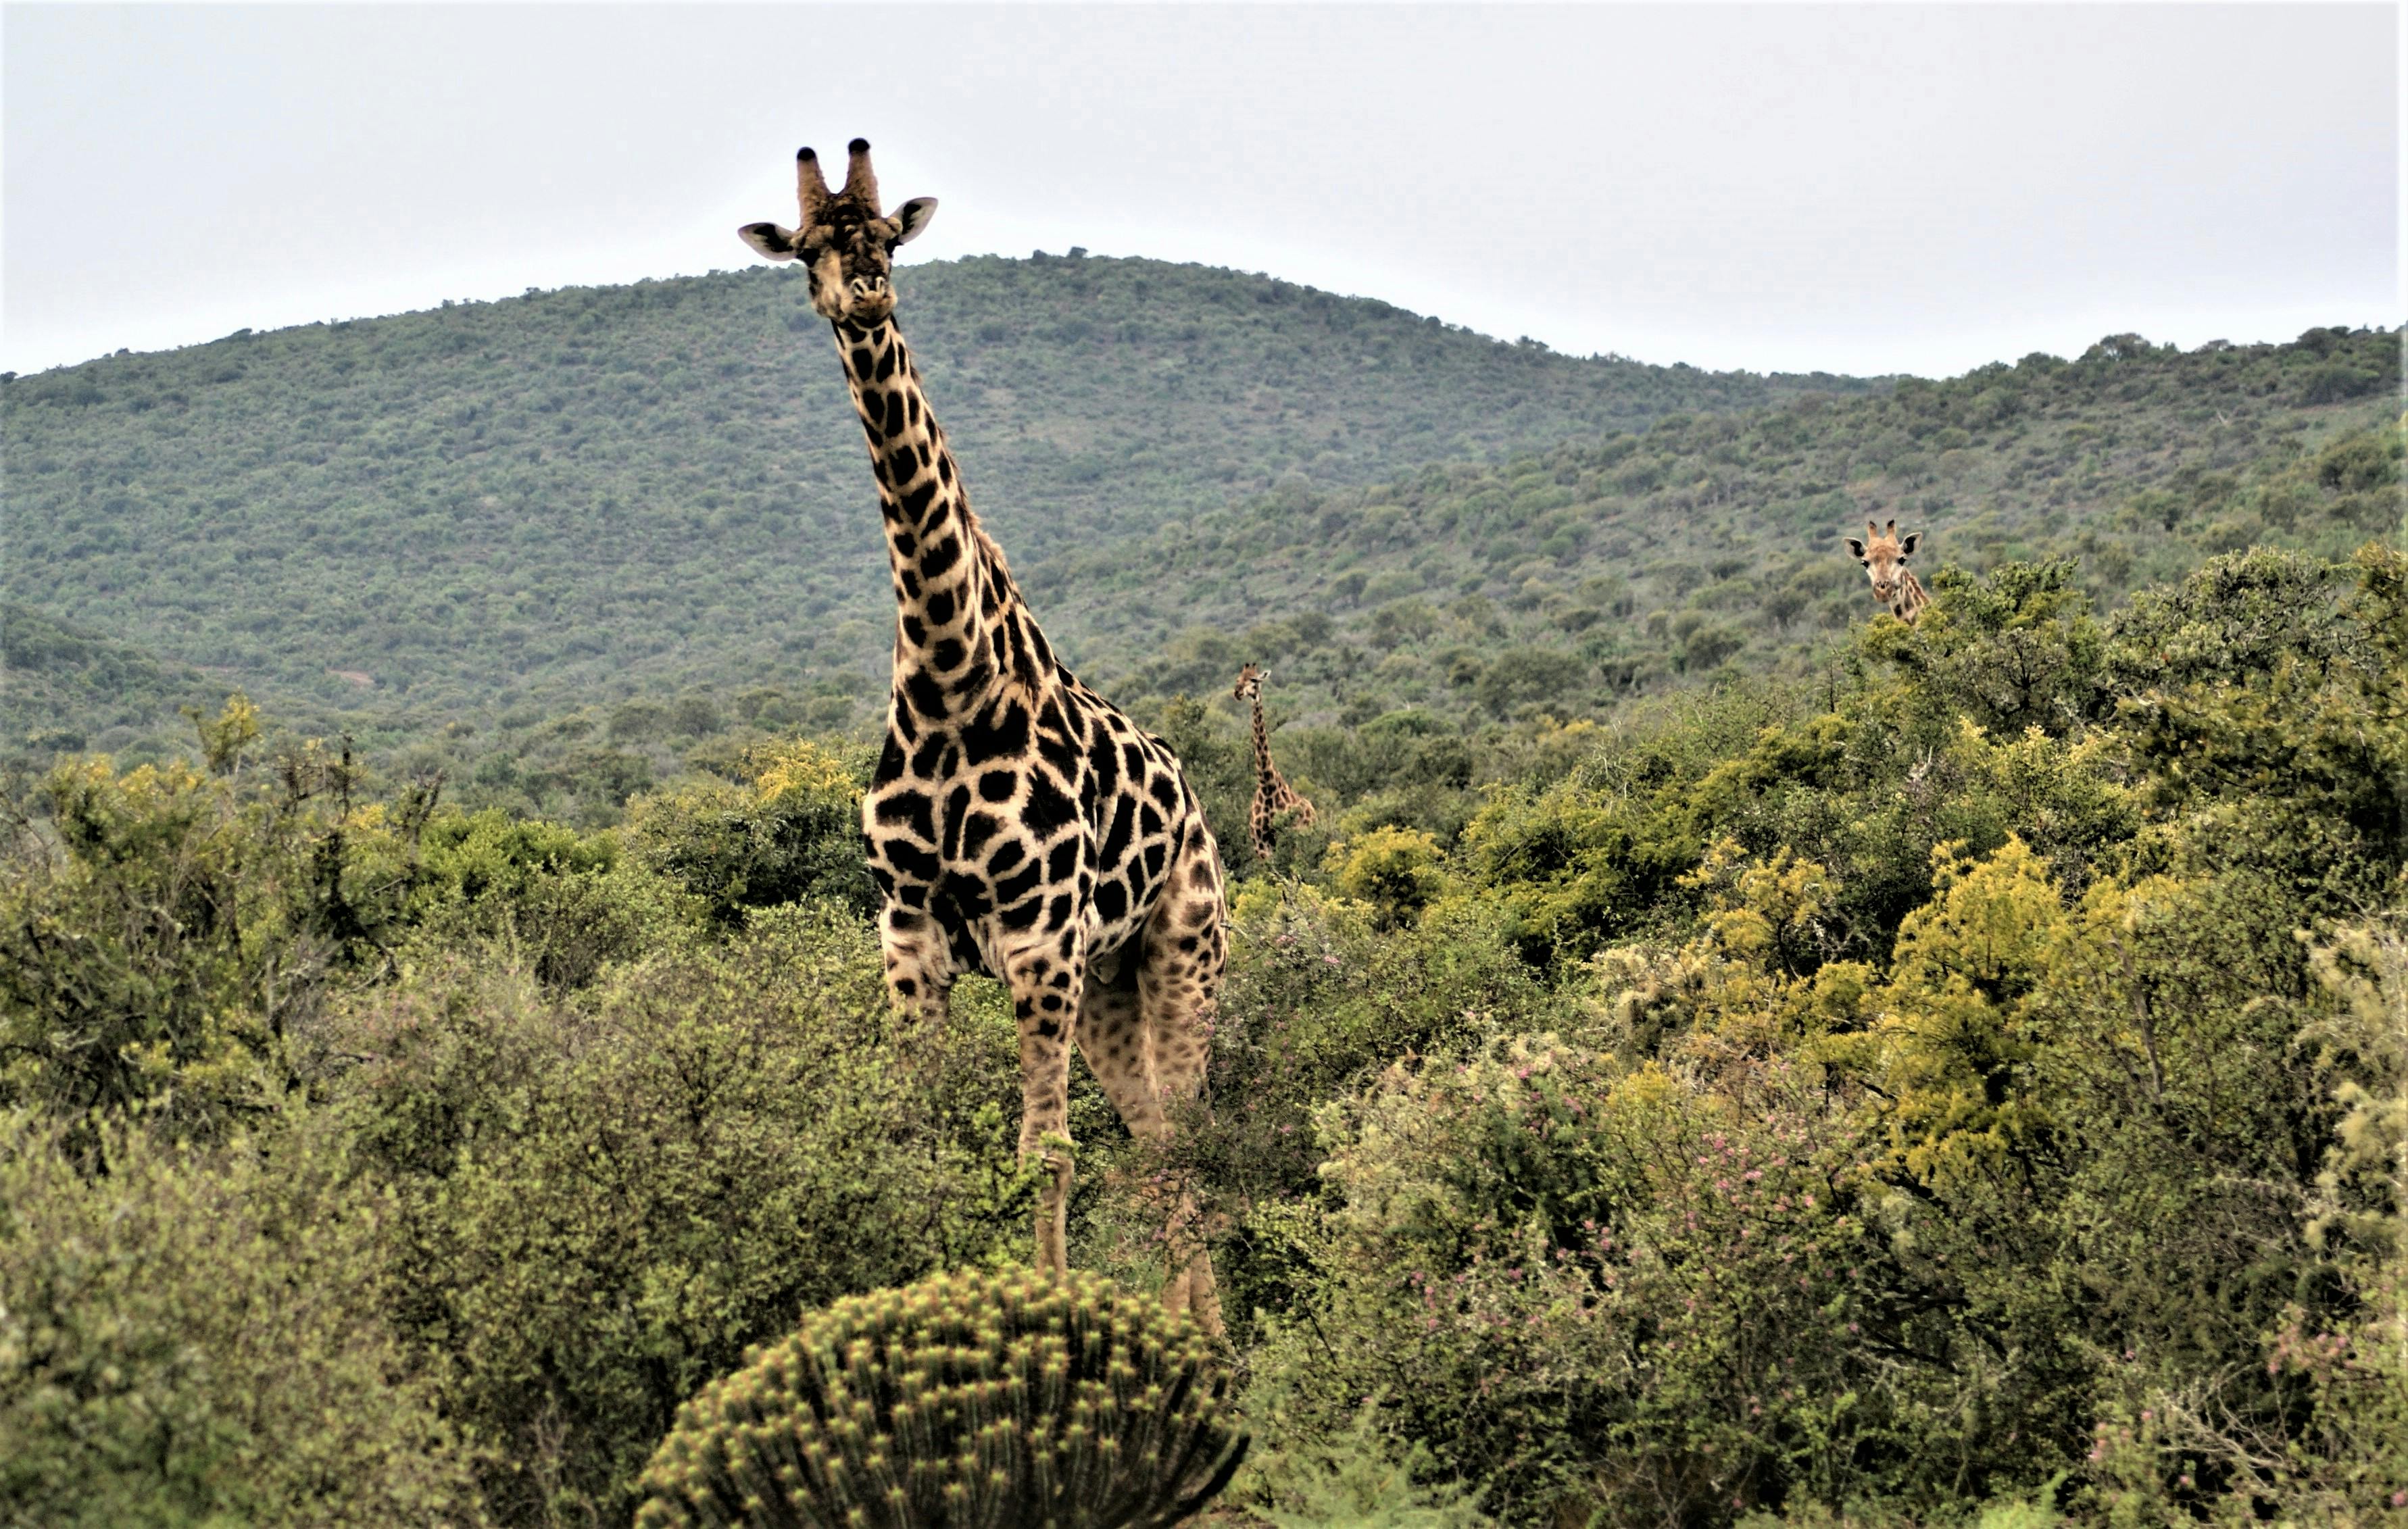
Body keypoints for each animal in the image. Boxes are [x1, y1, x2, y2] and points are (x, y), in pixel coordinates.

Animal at [739, 141, 1226, 1331]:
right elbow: (913, 1136)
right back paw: (1190, 1332)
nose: (866, 292)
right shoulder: (910, 932)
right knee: (1154, 1137)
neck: (950, 678)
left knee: (1188, 1137)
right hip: (1110, 981)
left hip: (1180, 949)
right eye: (808, 248)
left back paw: (1212, 1348)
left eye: (887, 237)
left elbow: (1042, 1152)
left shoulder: (1038, 937)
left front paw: (1046, 1321)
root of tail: (1199, 804)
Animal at [1231, 663, 1315, 862]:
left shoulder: (1292, 838)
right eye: (1238, 678)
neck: (1267, 786)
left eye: (1254, 680)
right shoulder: (1261, 846)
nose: (1237, 692)